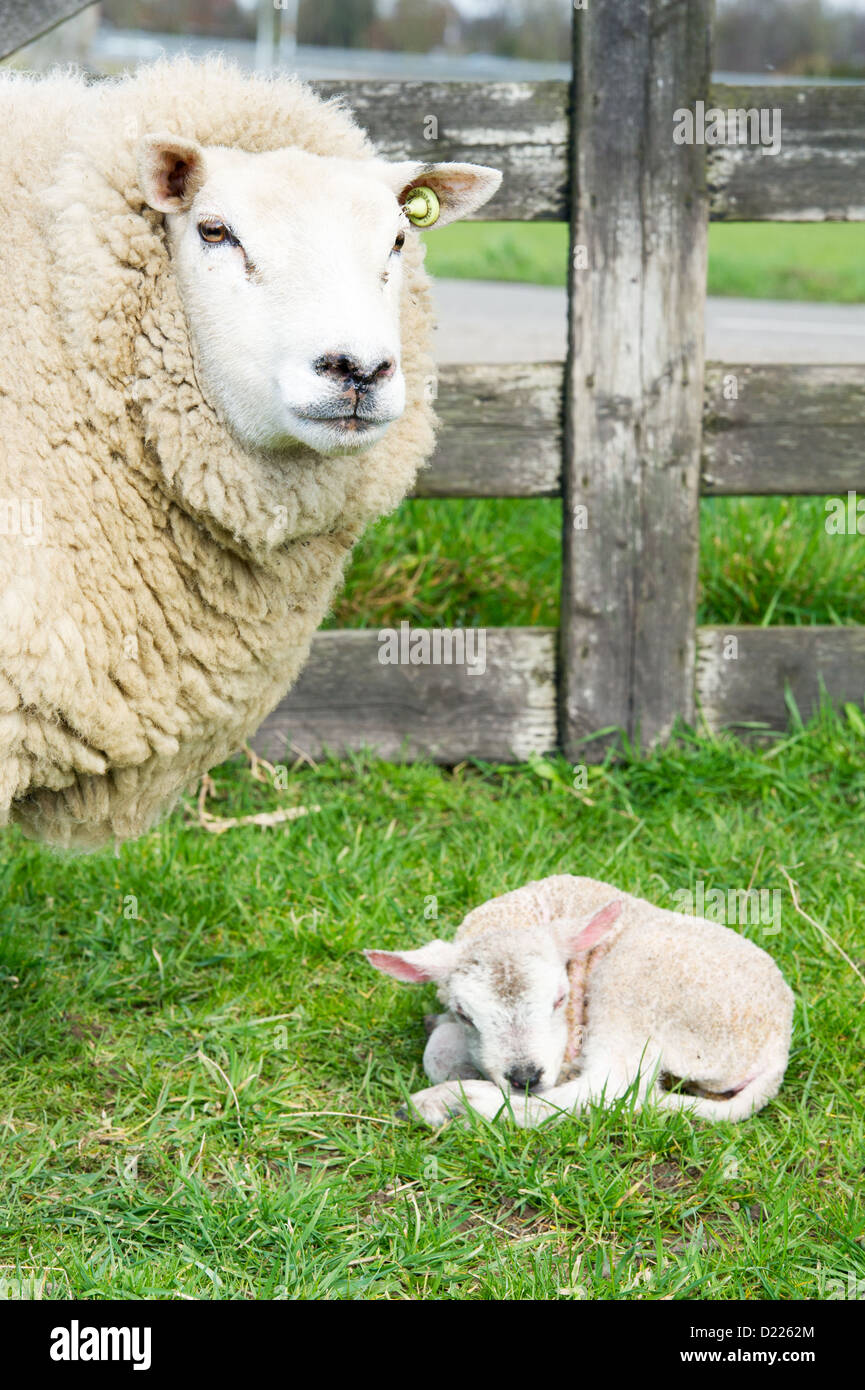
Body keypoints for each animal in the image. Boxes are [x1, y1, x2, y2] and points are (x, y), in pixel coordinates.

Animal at [365, 874, 794, 1128]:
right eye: (464, 1014)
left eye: (560, 999)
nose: (525, 1077)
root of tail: (778, 1049)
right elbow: (438, 1054)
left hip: (637, 987)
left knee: (610, 1090)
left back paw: (455, 1104)